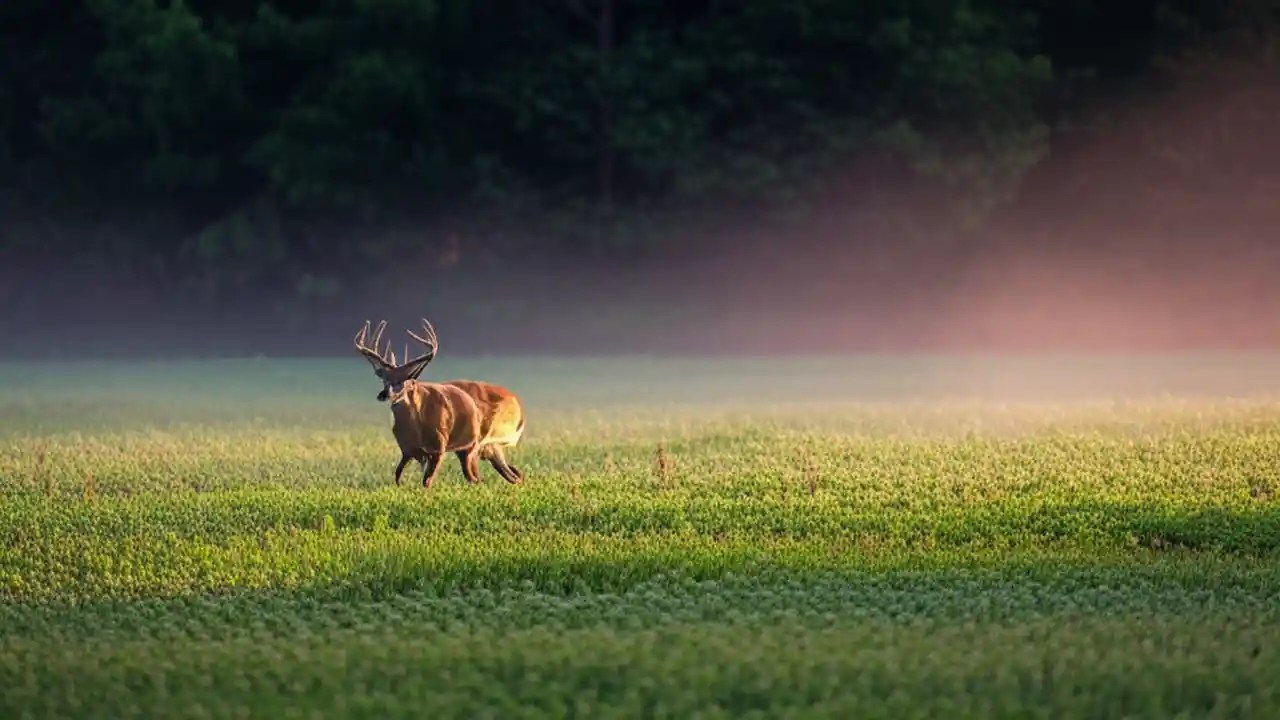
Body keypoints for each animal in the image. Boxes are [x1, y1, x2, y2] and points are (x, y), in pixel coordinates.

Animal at [353, 318, 526, 488]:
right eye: (385, 380)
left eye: (406, 381)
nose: (386, 395)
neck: (416, 429)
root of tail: (518, 406)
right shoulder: (407, 451)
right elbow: (397, 477)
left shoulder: (439, 447)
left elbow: (427, 481)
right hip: (488, 448)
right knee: (512, 474)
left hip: (472, 445)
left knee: (476, 478)